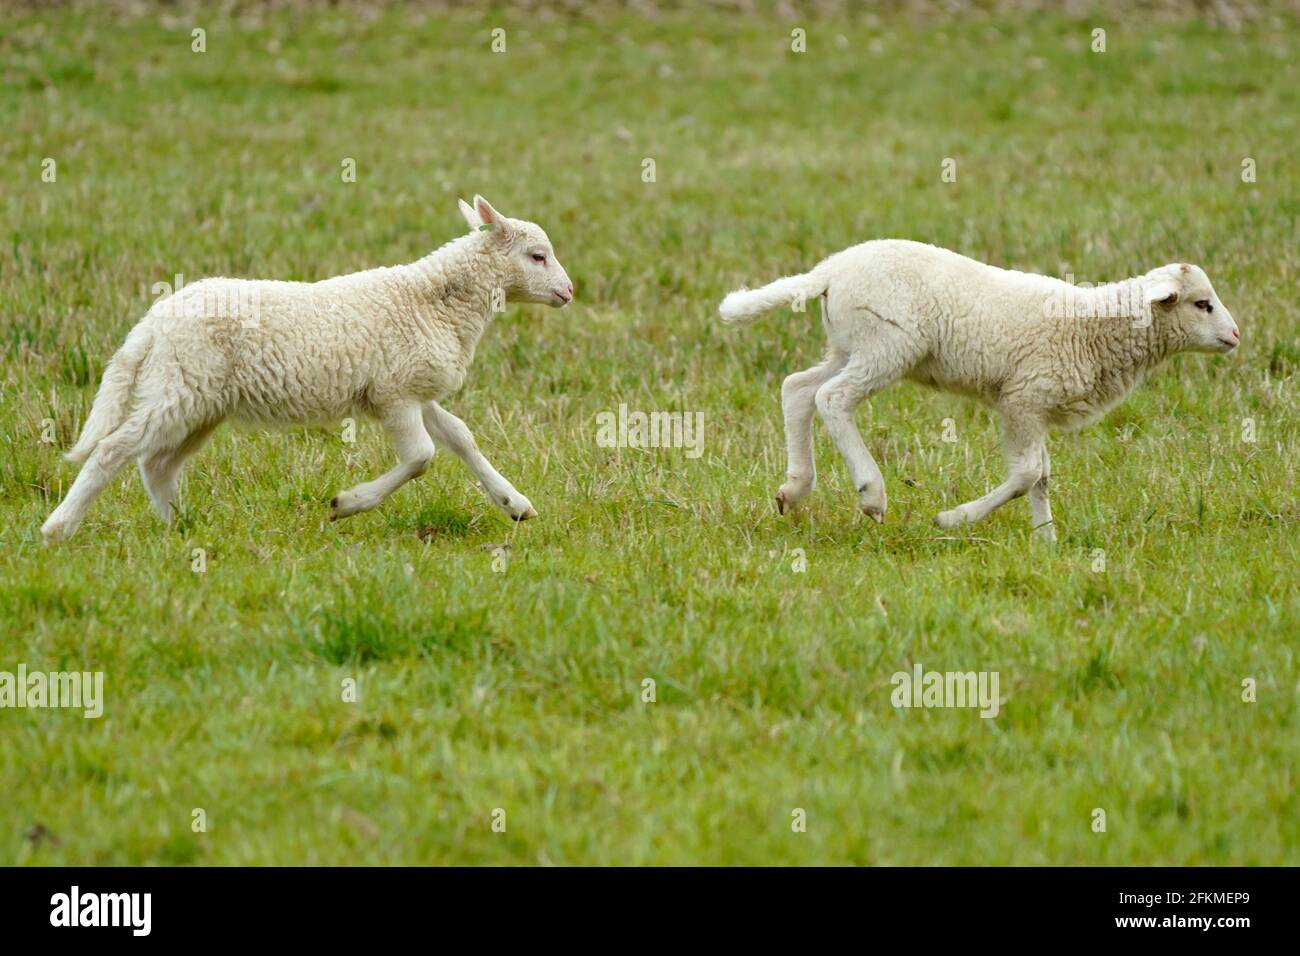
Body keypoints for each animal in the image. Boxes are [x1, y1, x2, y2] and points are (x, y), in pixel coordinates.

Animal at [41, 195, 574, 542]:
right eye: (537, 256)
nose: (568, 292)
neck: (432, 300)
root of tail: (151, 324)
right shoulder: (395, 393)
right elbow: (421, 457)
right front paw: (347, 504)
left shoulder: (410, 390)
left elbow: (461, 437)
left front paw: (515, 504)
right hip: (180, 387)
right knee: (113, 450)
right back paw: (59, 528)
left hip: (197, 401)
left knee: (157, 464)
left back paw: (182, 527)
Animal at [719, 240, 1239, 540]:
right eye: (1202, 304)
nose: (1236, 336)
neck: (1092, 330)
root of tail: (828, 273)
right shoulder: (1023, 398)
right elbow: (1027, 475)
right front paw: (953, 520)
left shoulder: (1035, 406)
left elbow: (1042, 475)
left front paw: (1047, 543)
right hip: (888, 344)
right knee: (833, 399)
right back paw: (871, 493)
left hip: (852, 344)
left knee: (798, 388)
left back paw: (793, 489)